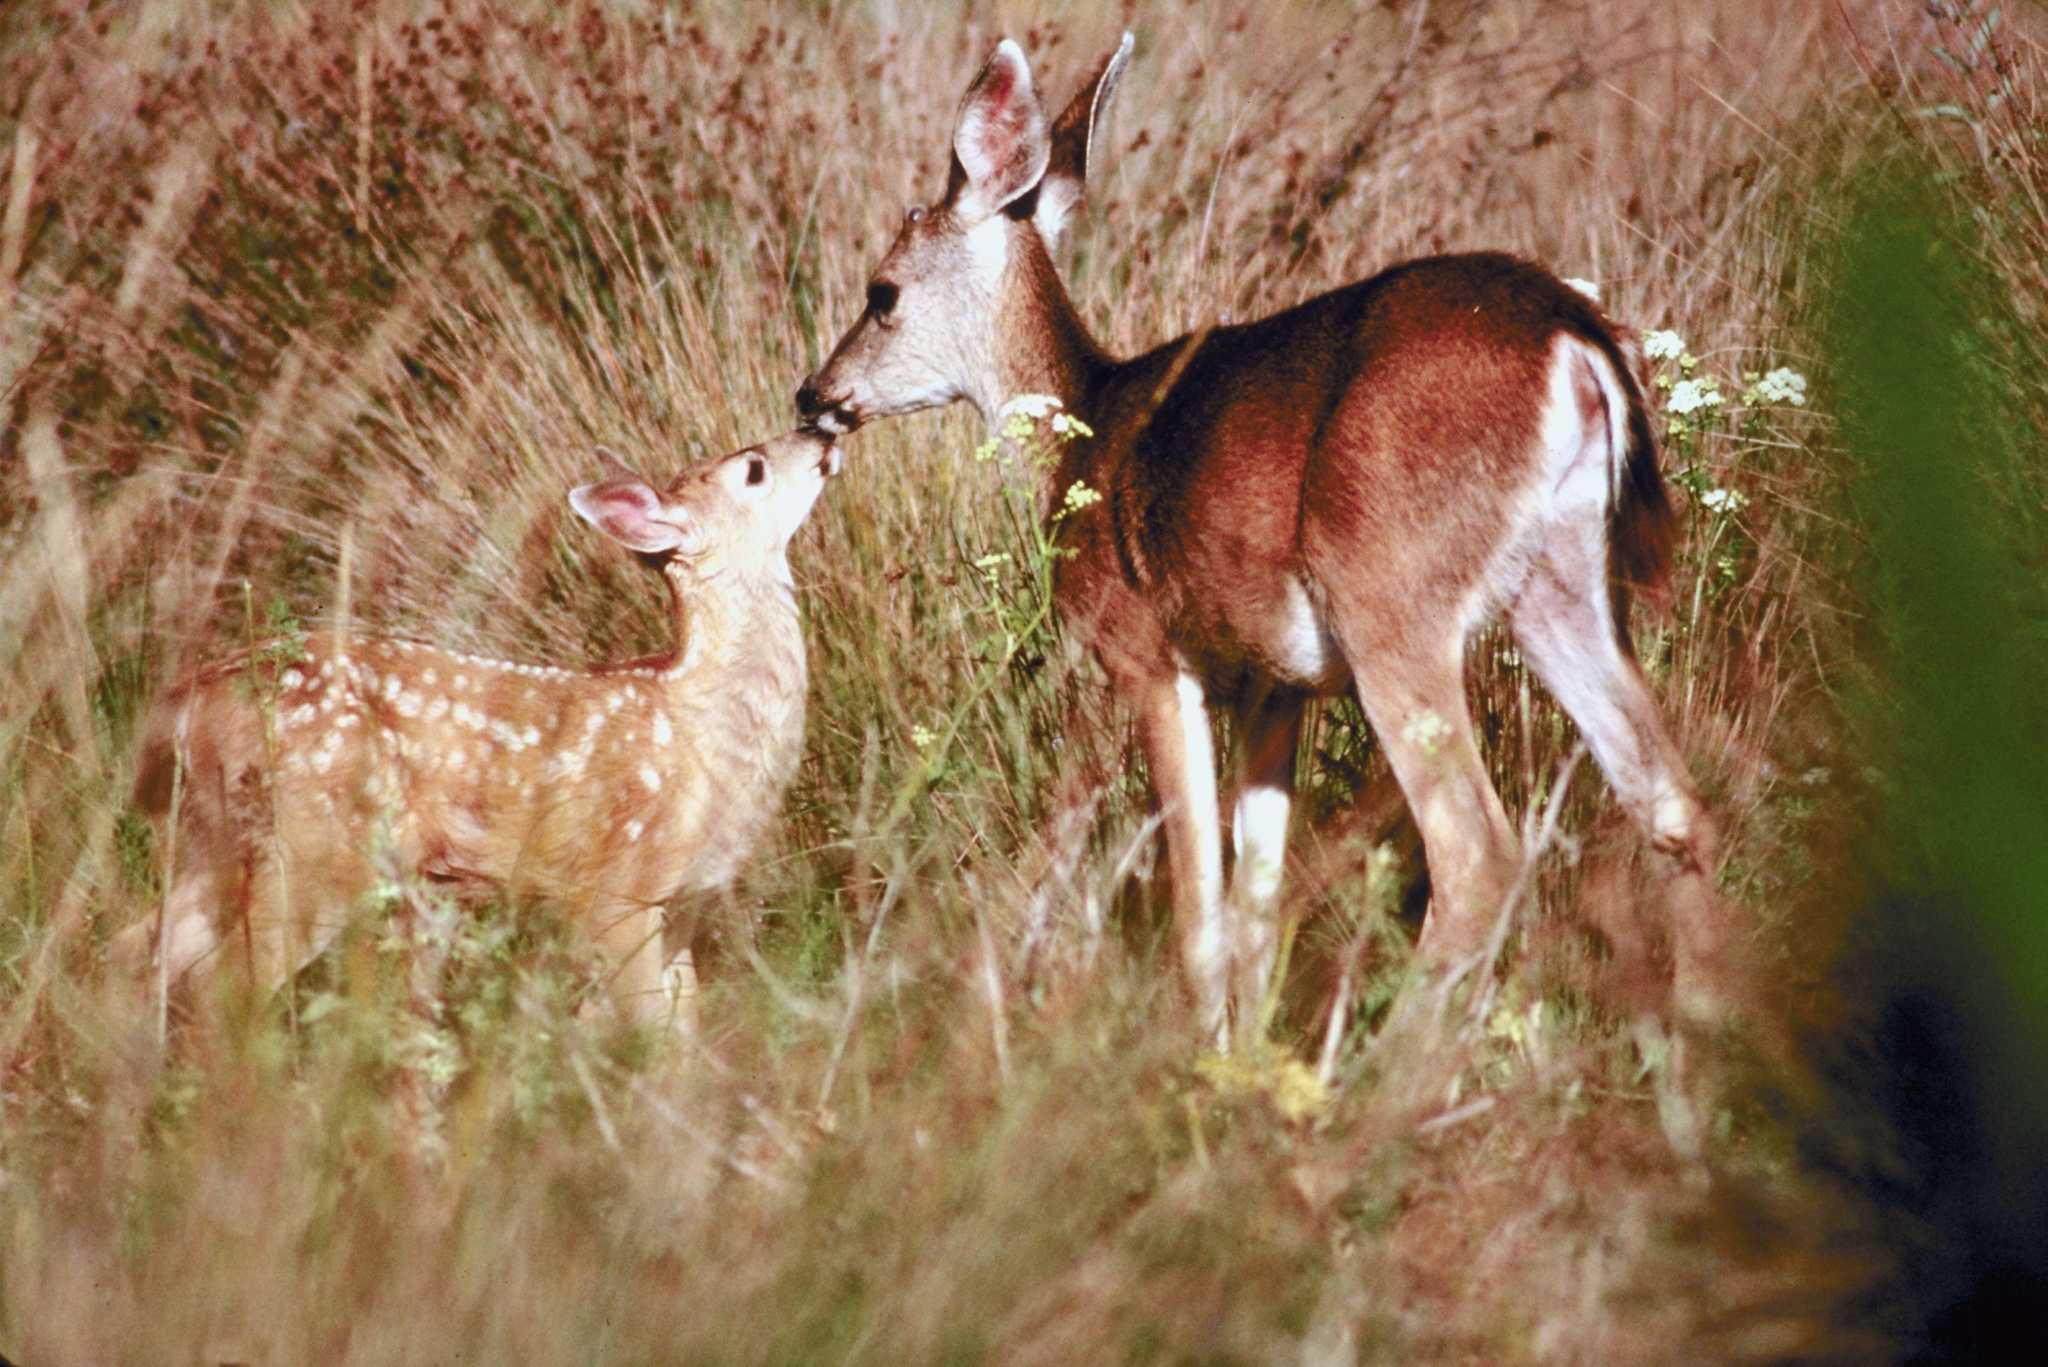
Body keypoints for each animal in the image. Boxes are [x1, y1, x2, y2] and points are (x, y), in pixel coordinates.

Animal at [123, 430, 839, 1037]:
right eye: (754, 467)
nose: (822, 435)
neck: (706, 723)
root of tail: (189, 703)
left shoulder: (685, 902)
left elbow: (680, 1036)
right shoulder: (617, 886)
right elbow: (643, 1029)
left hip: (215, 839)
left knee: (144, 948)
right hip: (311, 844)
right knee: (221, 985)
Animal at [796, 35, 1730, 1045]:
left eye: (882, 292)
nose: (815, 393)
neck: (1082, 431)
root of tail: (1576, 336)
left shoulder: (1148, 653)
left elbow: (1199, 902)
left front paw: (1202, 1054)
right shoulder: (1272, 683)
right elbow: (1255, 902)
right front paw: (1241, 1048)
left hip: (1390, 593)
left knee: (1479, 853)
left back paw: (1376, 1071)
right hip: (1563, 582)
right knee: (1672, 802)